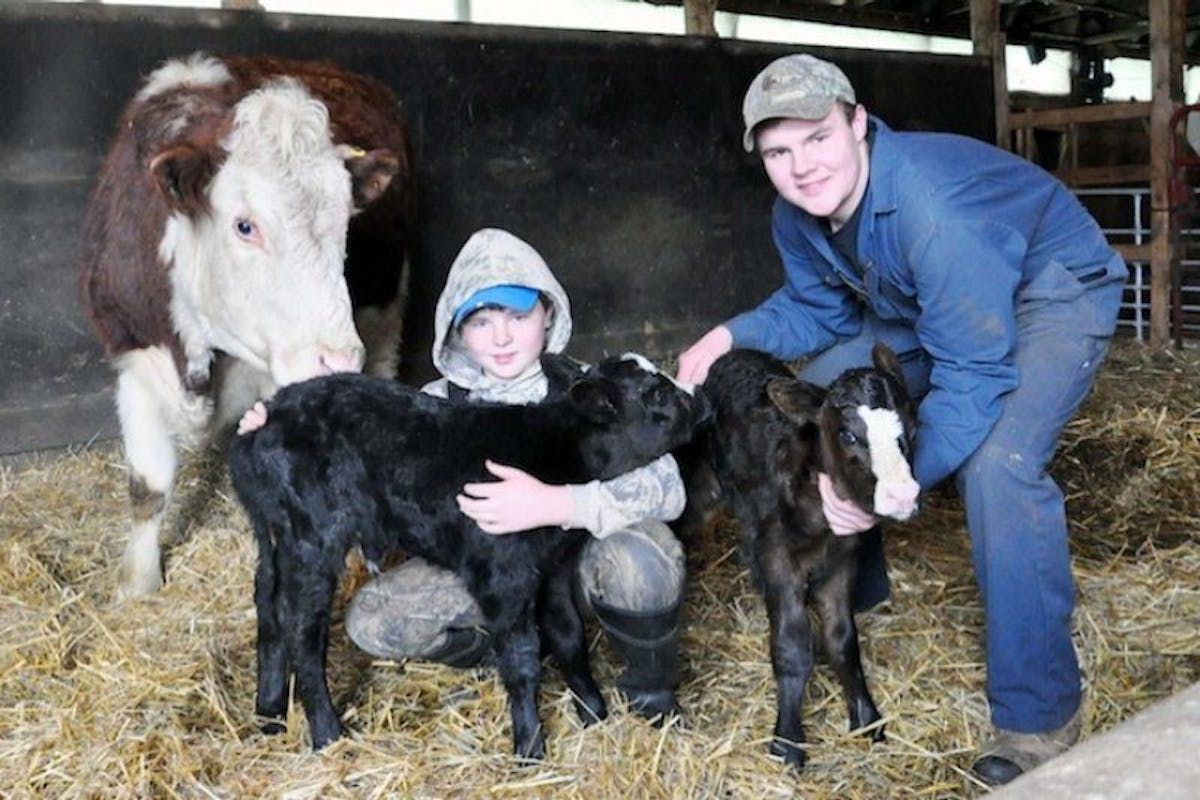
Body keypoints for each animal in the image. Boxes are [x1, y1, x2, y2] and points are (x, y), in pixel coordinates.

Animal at [78, 52, 414, 600]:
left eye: (346, 225)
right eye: (244, 226)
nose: (338, 358)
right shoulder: (135, 356)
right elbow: (147, 487)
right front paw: (137, 584)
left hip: (387, 317)